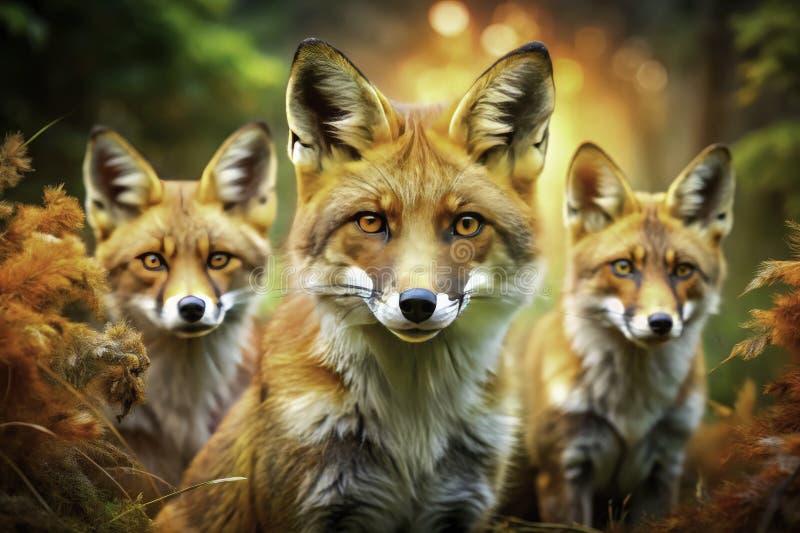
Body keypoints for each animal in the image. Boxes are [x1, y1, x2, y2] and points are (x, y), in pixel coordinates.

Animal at [156, 38, 554, 532]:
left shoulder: (460, 507)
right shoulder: (315, 508)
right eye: (370, 222)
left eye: (466, 224)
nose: (417, 304)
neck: (414, 429)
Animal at [516, 142, 735, 526]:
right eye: (623, 267)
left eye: (682, 270)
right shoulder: (563, 469)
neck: (632, 406)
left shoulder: (663, 467)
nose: (660, 322)